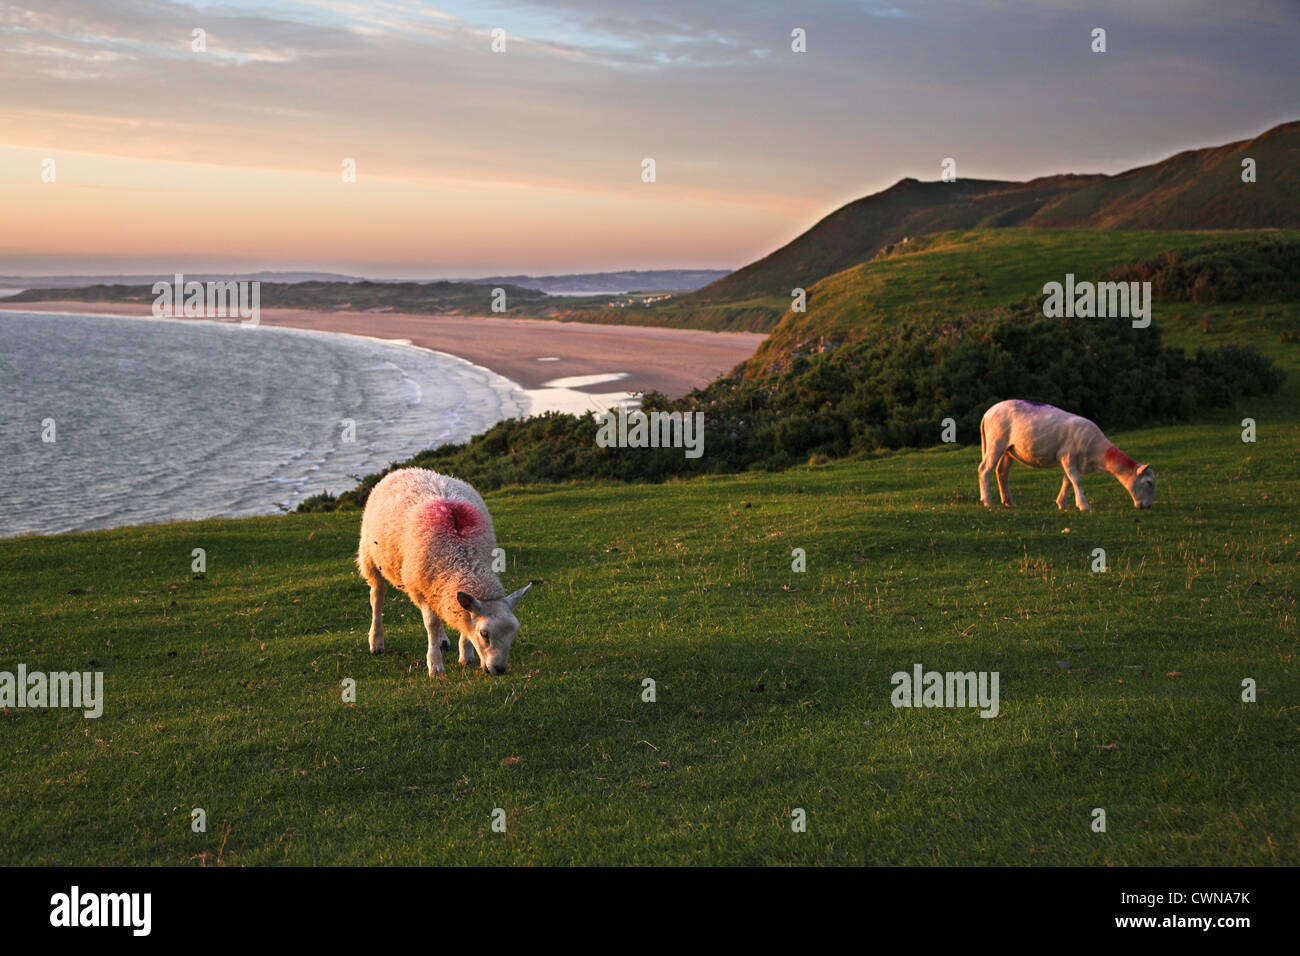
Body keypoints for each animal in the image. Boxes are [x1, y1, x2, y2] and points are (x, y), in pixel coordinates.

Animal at [357, 468, 532, 677]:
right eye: (484, 634)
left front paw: (466, 654)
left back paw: (442, 640)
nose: (499, 669)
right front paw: (435, 665)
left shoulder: (442, 584)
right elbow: (431, 623)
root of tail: (404, 470)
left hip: (434, 584)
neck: (463, 557)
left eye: (514, 632)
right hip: (371, 557)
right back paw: (376, 641)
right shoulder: (419, 587)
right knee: (377, 597)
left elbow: (460, 618)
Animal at [978, 400, 1155, 511]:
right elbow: (1076, 480)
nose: (1148, 507)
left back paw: (1009, 502)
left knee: (1001, 472)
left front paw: (1062, 503)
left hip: (1009, 449)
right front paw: (1083, 506)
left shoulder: (1072, 461)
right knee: (984, 470)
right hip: (996, 442)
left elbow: (1067, 480)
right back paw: (987, 501)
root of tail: (987, 413)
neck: (1099, 455)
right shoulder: (1068, 456)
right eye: (1148, 483)